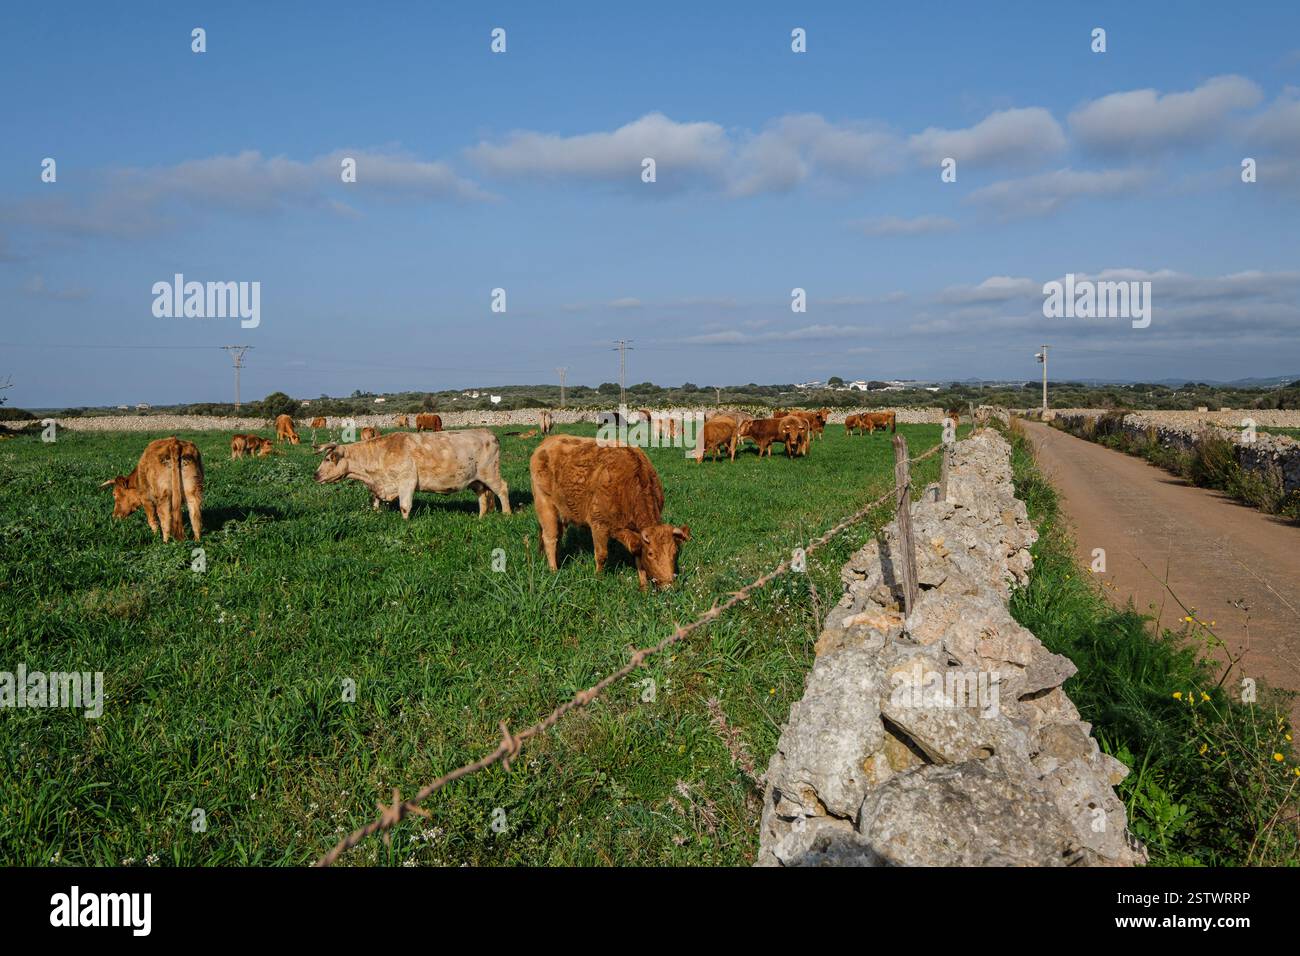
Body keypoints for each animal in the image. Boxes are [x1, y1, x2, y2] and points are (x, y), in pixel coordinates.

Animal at [314, 430, 509, 519]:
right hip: (476, 480)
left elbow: (405, 506)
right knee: (483, 496)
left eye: (329, 458)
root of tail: (488, 433)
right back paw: (481, 517)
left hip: (491, 473)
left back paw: (507, 514)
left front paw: (405, 523)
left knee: (502, 489)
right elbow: (376, 503)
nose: (315, 475)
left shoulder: (407, 481)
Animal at [530, 435, 690, 589]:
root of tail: (547, 442)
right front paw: (597, 578)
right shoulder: (598, 524)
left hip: (562, 512)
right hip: (545, 505)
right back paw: (553, 571)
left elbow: (637, 555)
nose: (669, 586)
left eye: (675, 552)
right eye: (651, 554)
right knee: (550, 538)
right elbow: (601, 555)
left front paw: (643, 586)